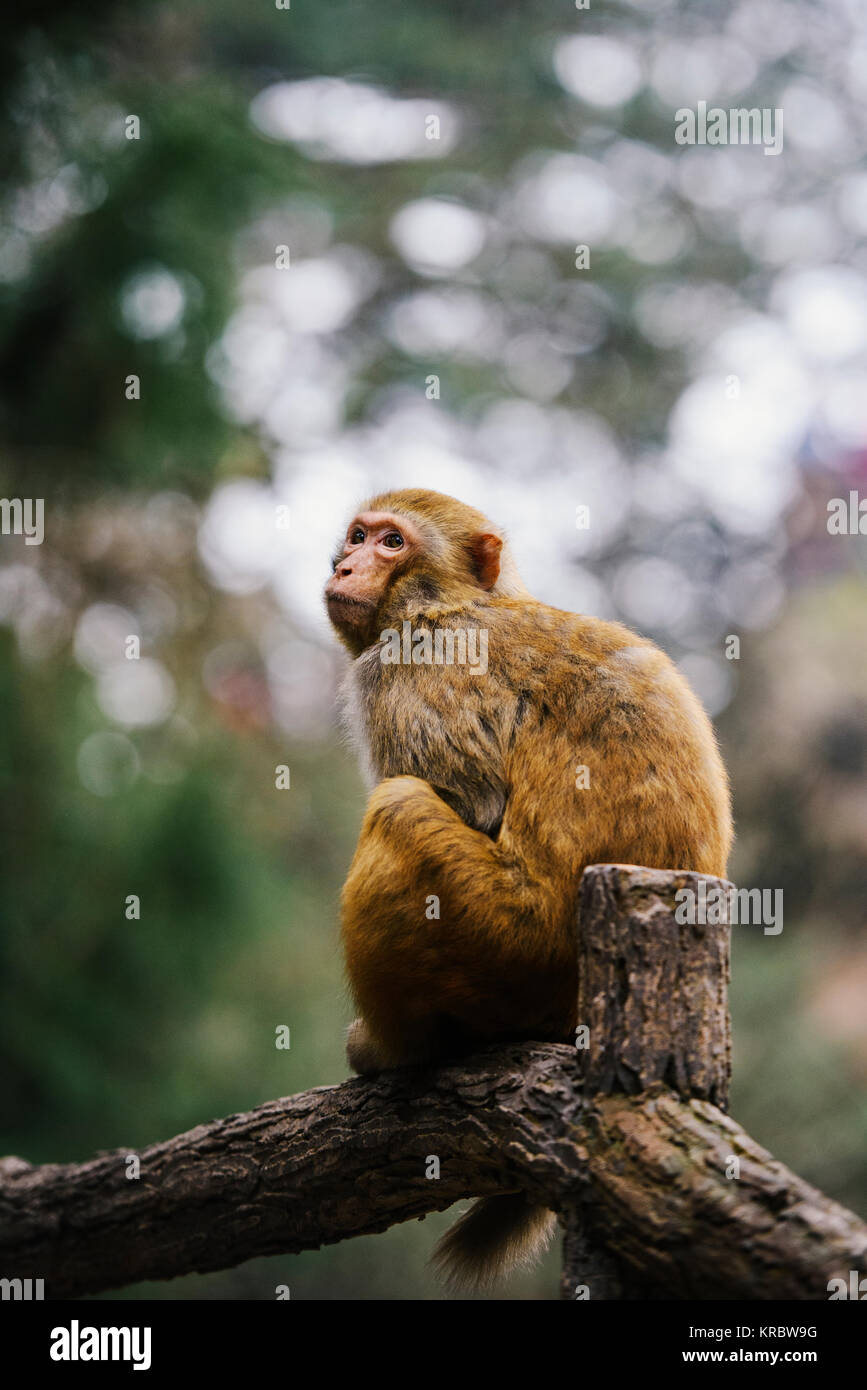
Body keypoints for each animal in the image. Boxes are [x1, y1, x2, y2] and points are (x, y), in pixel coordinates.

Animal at [324, 487, 732, 1291]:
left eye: (391, 542)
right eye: (357, 535)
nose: (344, 565)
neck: (450, 602)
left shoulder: (413, 670)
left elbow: (471, 804)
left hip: (505, 944)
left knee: (401, 807)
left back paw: (399, 1049)